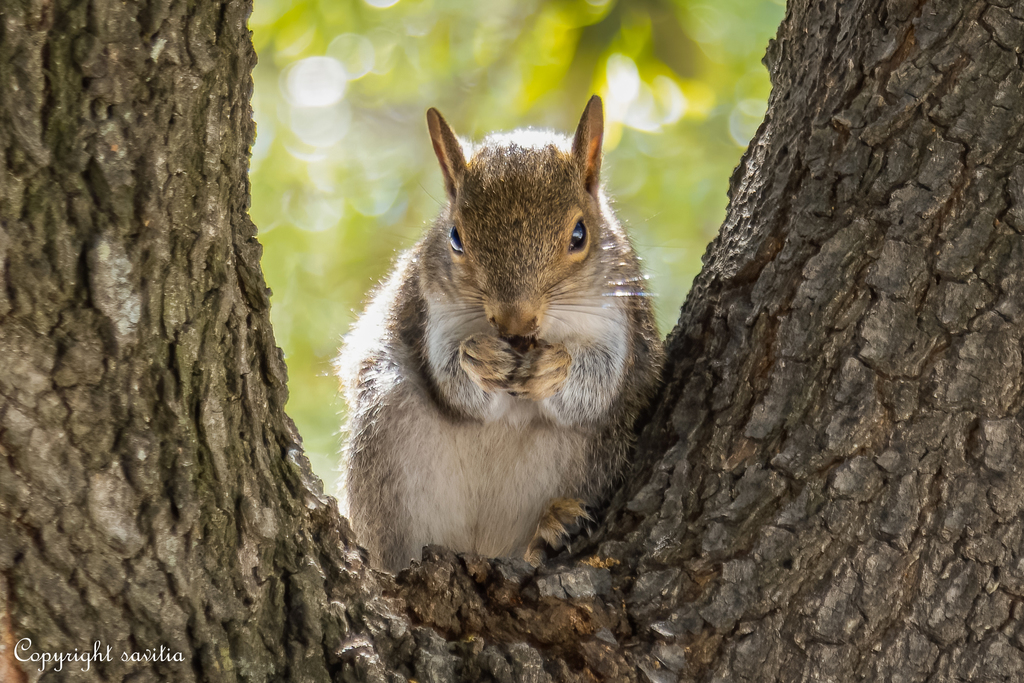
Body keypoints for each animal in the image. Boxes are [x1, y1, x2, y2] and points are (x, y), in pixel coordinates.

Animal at [336, 96, 664, 572]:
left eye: (579, 235)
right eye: (455, 237)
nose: (515, 323)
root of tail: (482, 548)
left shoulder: (619, 316)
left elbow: (597, 384)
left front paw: (555, 368)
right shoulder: (432, 305)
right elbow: (451, 377)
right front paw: (479, 360)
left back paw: (550, 530)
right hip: (389, 424)